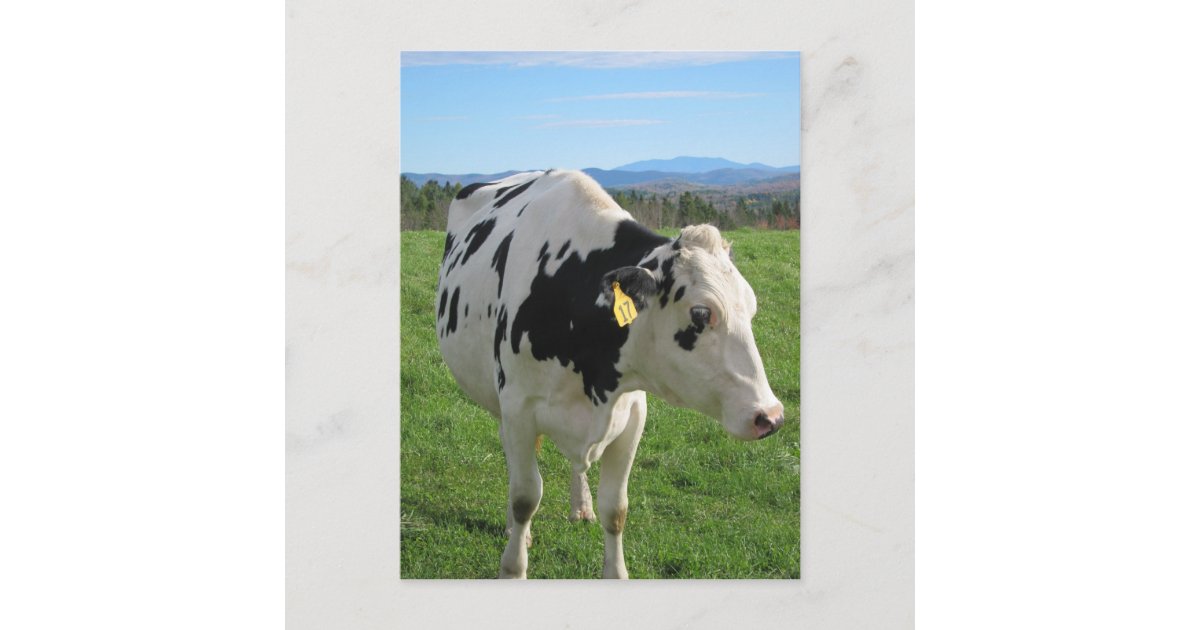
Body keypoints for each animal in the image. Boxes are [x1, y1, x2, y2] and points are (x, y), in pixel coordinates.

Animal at [435, 169, 784, 579]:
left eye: (753, 308)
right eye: (701, 313)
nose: (771, 416)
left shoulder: (632, 414)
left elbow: (615, 508)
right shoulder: (518, 408)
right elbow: (525, 497)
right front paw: (513, 565)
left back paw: (580, 506)